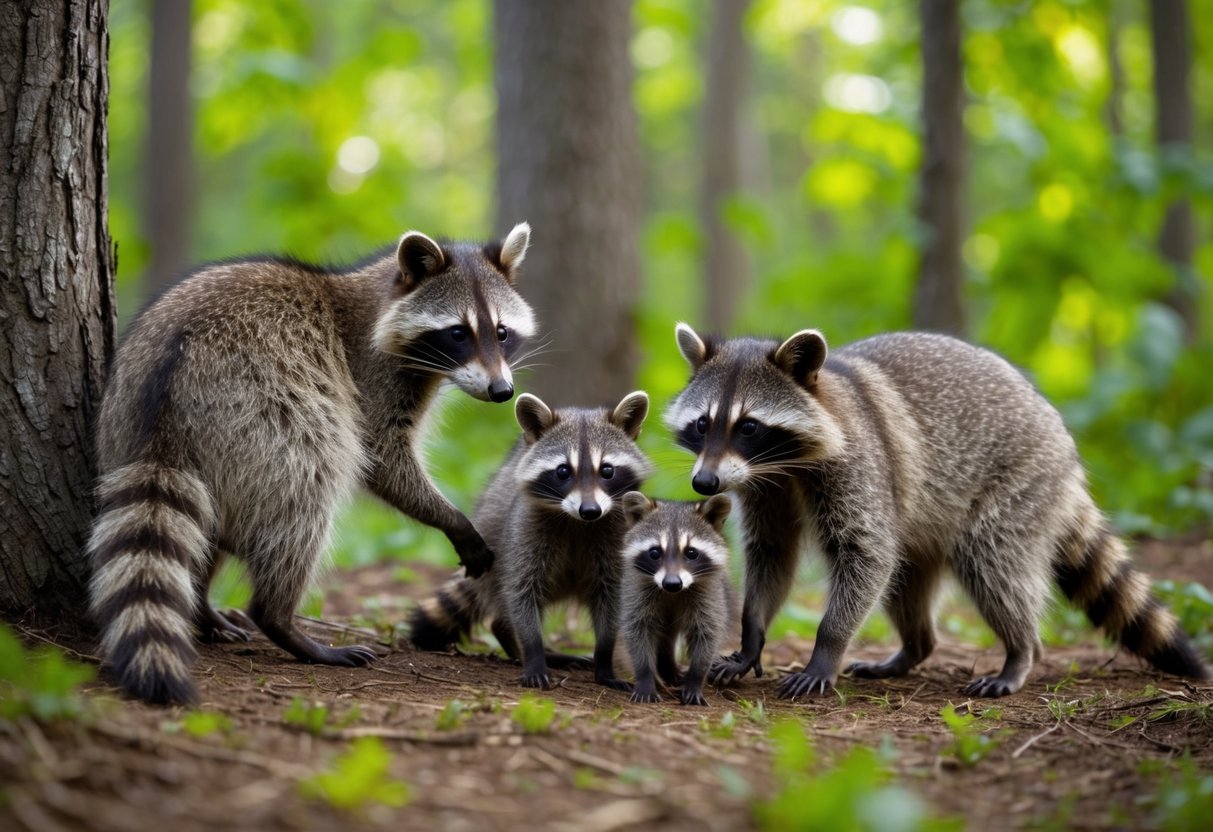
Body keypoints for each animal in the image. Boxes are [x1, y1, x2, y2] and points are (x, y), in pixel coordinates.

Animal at [89, 224, 537, 705]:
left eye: (502, 332)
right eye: (457, 333)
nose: (502, 391)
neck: (379, 299)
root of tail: (166, 409)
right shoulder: (370, 377)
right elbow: (382, 459)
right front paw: (453, 519)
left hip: (132, 412)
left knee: (208, 528)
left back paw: (202, 603)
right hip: (264, 420)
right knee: (305, 499)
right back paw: (279, 619)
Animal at [408, 391, 653, 690]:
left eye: (607, 470)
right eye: (563, 471)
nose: (590, 510)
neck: (577, 522)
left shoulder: (614, 539)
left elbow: (611, 597)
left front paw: (604, 661)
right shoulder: (525, 533)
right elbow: (523, 592)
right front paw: (534, 654)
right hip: (496, 537)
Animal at [620, 492, 736, 706]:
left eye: (691, 552)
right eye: (655, 552)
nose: (672, 583)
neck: (672, 593)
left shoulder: (709, 595)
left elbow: (707, 633)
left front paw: (695, 679)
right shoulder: (636, 590)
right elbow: (638, 630)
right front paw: (645, 677)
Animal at [666, 323, 1210, 699]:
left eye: (749, 426)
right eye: (702, 424)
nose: (704, 482)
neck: (784, 463)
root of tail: (1064, 448)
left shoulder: (859, 463)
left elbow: (867, 553)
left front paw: (827, 648)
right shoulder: (766, 488)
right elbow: (773, 553)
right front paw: (752, 633)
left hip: (1019, 481)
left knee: (992, 564)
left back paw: (1020, 651)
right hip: (928, 521)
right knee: (906, 580)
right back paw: (916, 647)